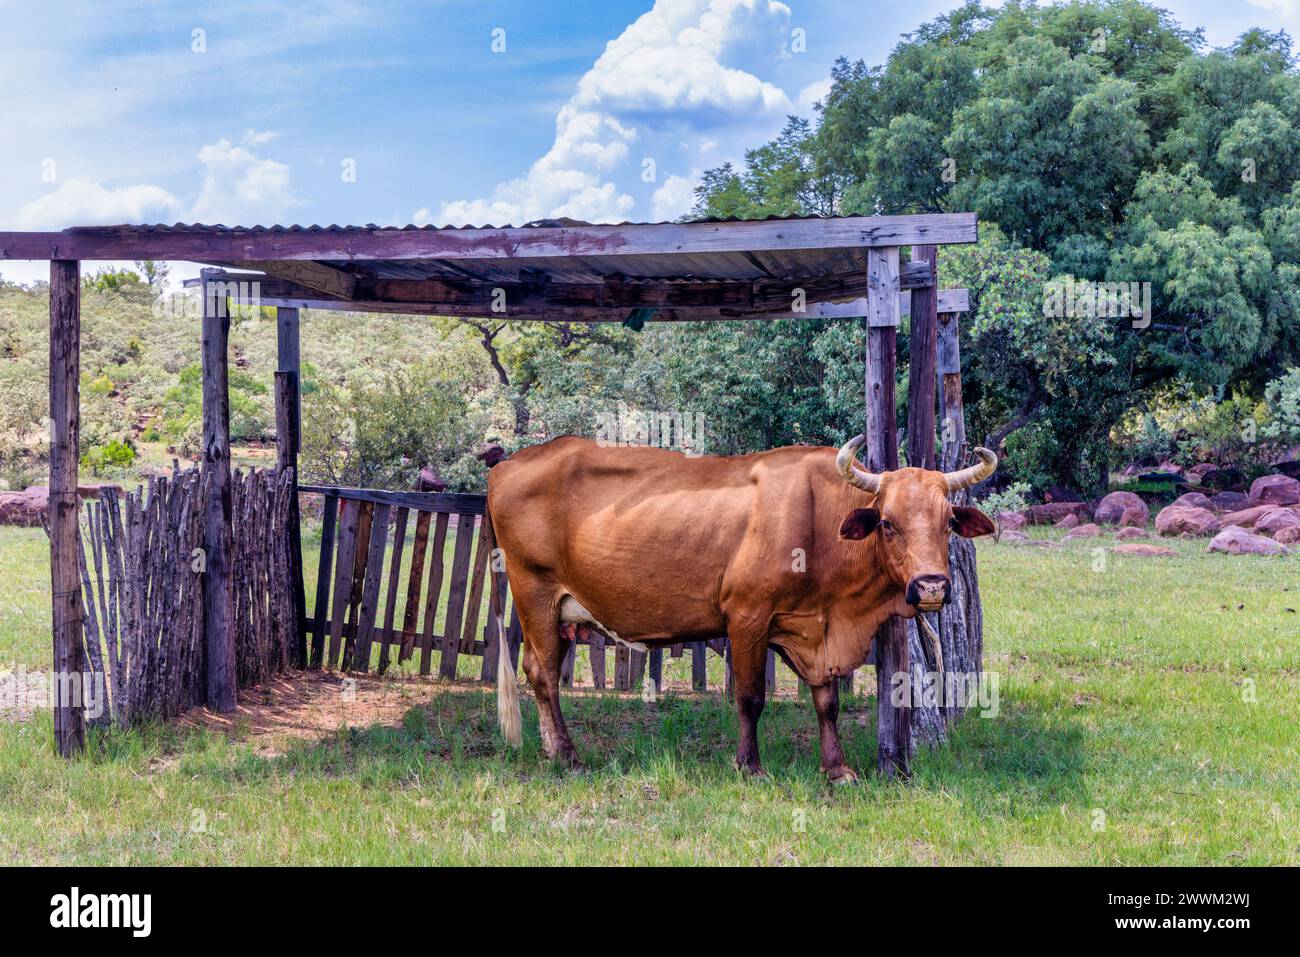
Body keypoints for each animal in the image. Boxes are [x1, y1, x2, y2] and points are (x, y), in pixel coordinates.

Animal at [487, 433, 996, 782]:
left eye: (948, 521)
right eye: (888, 523)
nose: (930, 586)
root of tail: (509, 464)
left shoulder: (815, 631)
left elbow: (827, 702)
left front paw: (837, 769)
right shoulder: (748, 617)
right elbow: (751, 697)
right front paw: (749, 765)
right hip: (535, 594)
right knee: (542, 673)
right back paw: (565, 754)